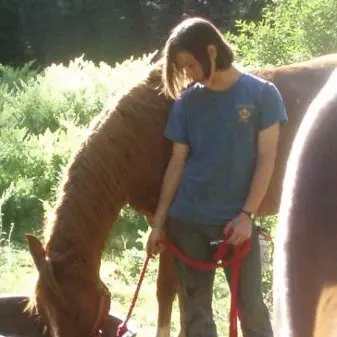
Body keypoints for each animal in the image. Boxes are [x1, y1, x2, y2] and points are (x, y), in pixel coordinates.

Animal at [26, 54, 336, 336]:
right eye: (43, 312)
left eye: (76, 312)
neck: (143, 136)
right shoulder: (161, 223)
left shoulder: (172, 226)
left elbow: (167, 289)